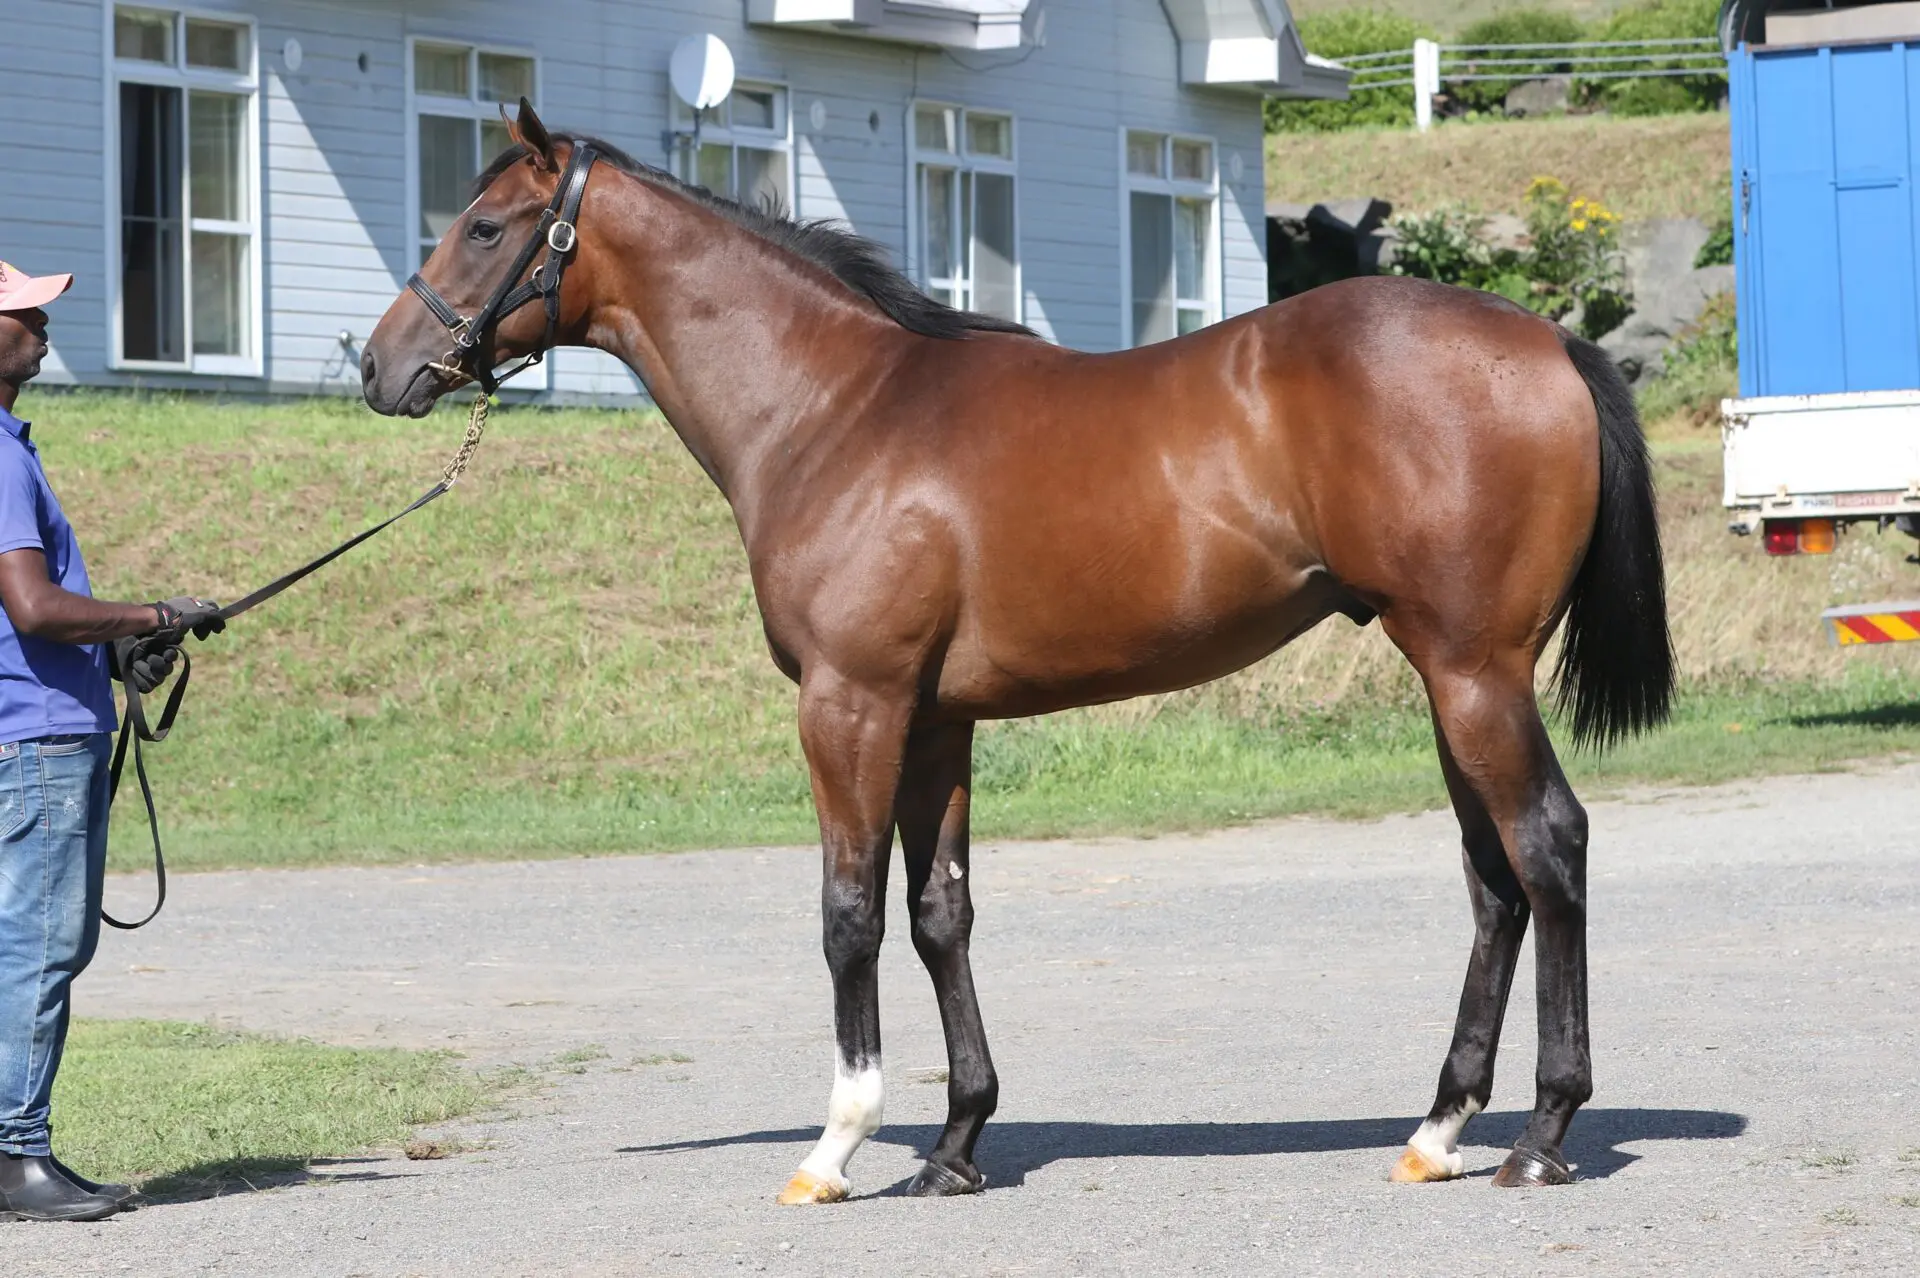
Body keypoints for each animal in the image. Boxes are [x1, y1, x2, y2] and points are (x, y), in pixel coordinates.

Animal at [361, 101, 1671, 1203]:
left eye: (485, 226)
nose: (377, 367)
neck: (837, 409)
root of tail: (1550, 342)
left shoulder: (852, 704)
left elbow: (848, 911)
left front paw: (836, 1146)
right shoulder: (938, 717)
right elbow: (941, 913)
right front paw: (954, 1145)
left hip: (1473, 671)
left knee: (1548, 849)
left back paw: (1543, 1135)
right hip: (1450, 678)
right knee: (1494, 882)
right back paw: (1438, 1132)